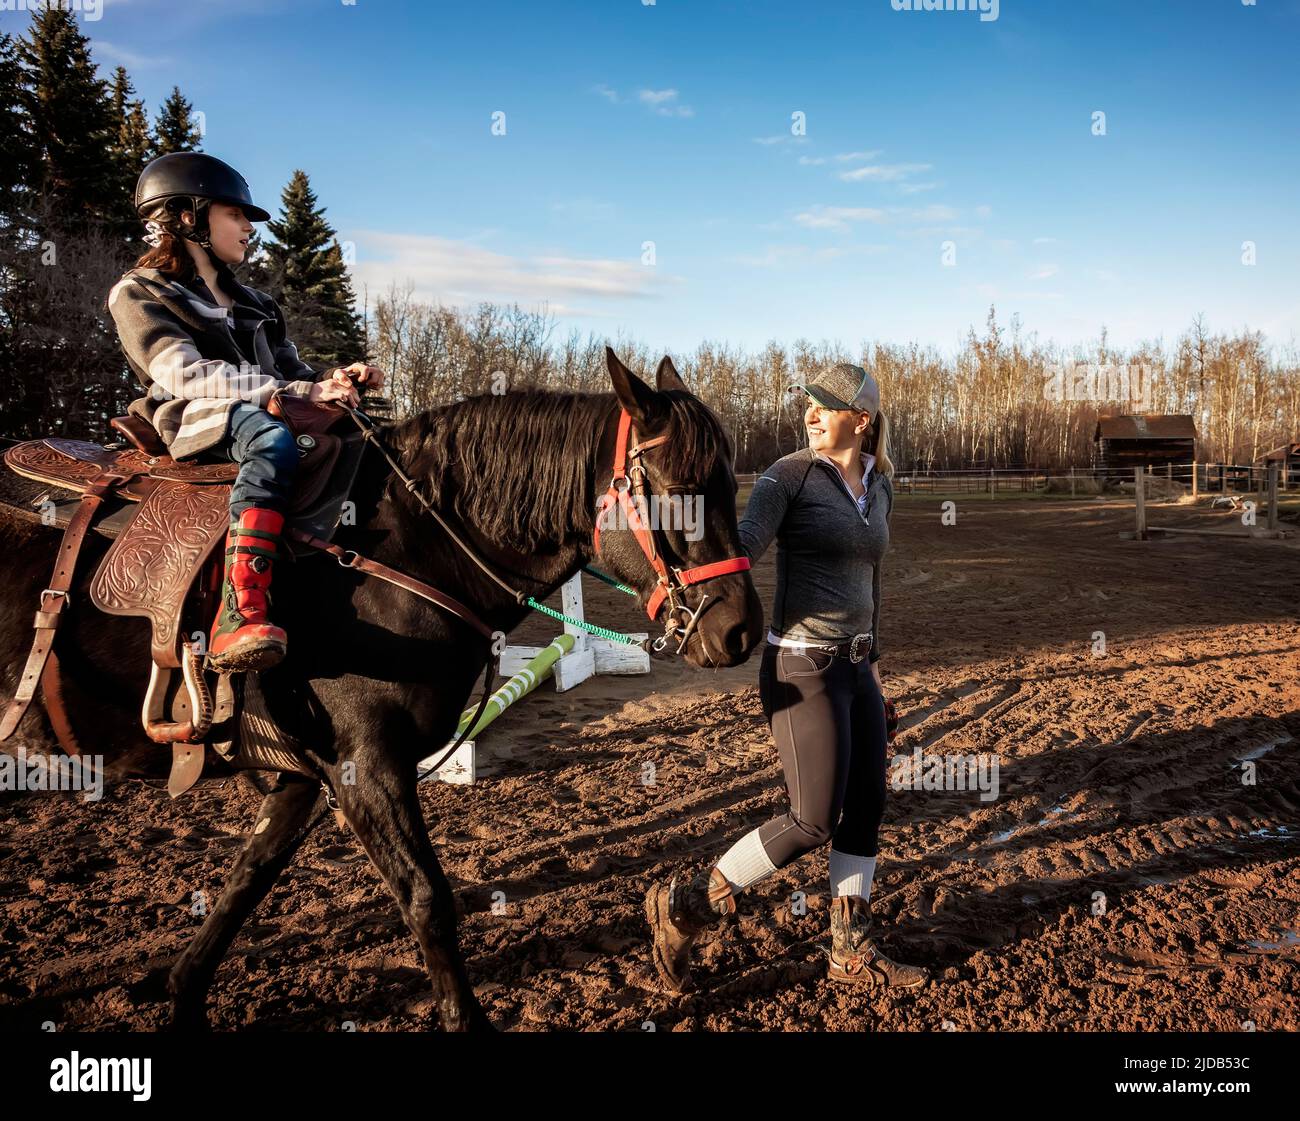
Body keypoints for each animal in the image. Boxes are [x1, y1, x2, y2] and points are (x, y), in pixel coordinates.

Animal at [0, 351, 764, 1035]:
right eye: (681, 490)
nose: (741, 631)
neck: (402, 553)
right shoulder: (367, 766)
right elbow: (426, 898)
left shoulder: (305, 775)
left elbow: (246, 878)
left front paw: (183, 994)